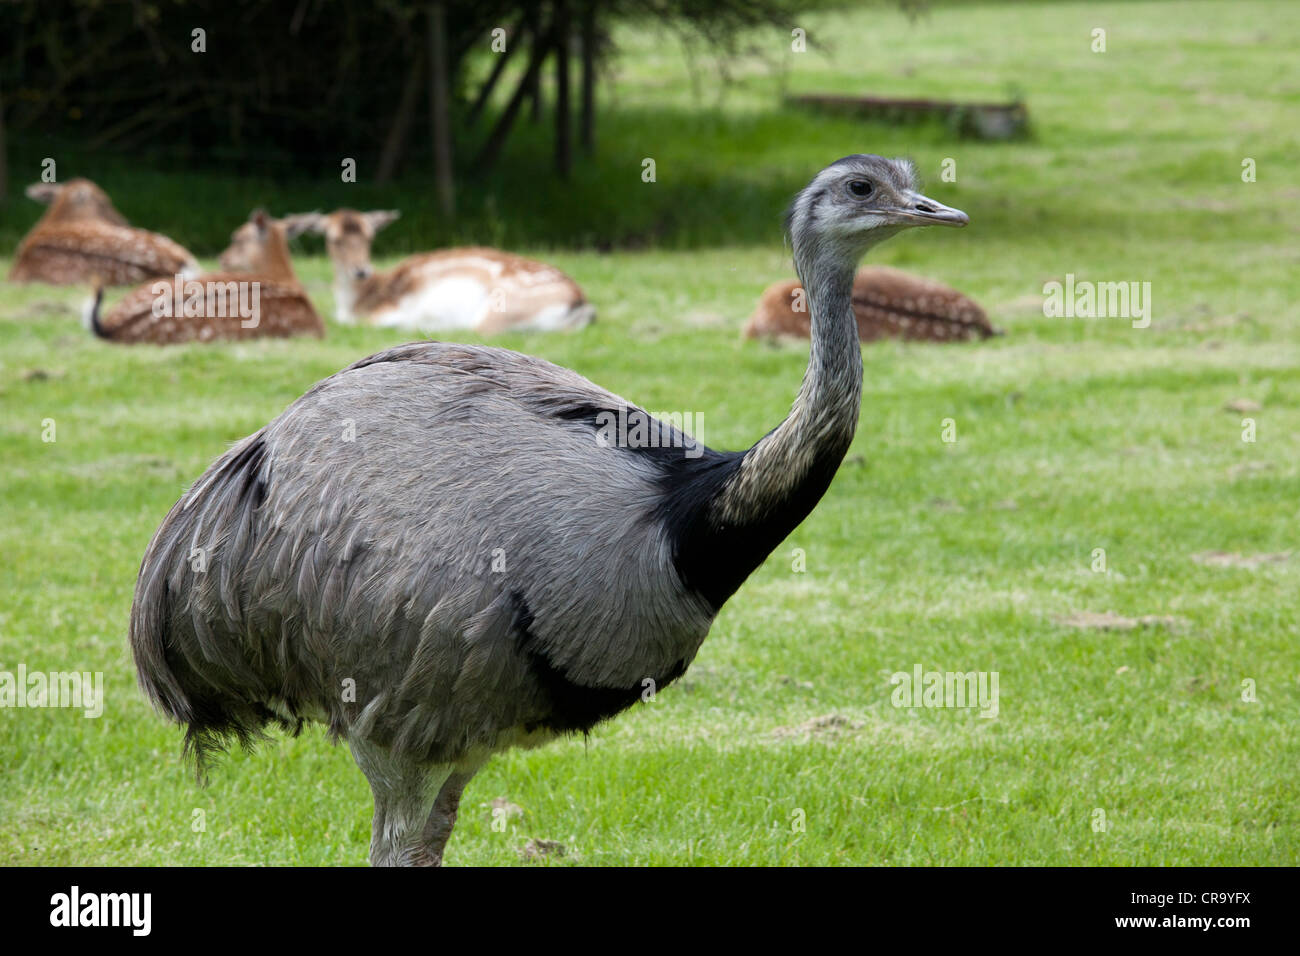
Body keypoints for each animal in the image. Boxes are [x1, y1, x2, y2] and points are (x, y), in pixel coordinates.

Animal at [272, 210, 595, 335]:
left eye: (370, 237)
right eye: (333, 239)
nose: (360, 270)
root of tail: (582, 302)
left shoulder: (385, 310)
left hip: (499, 308)